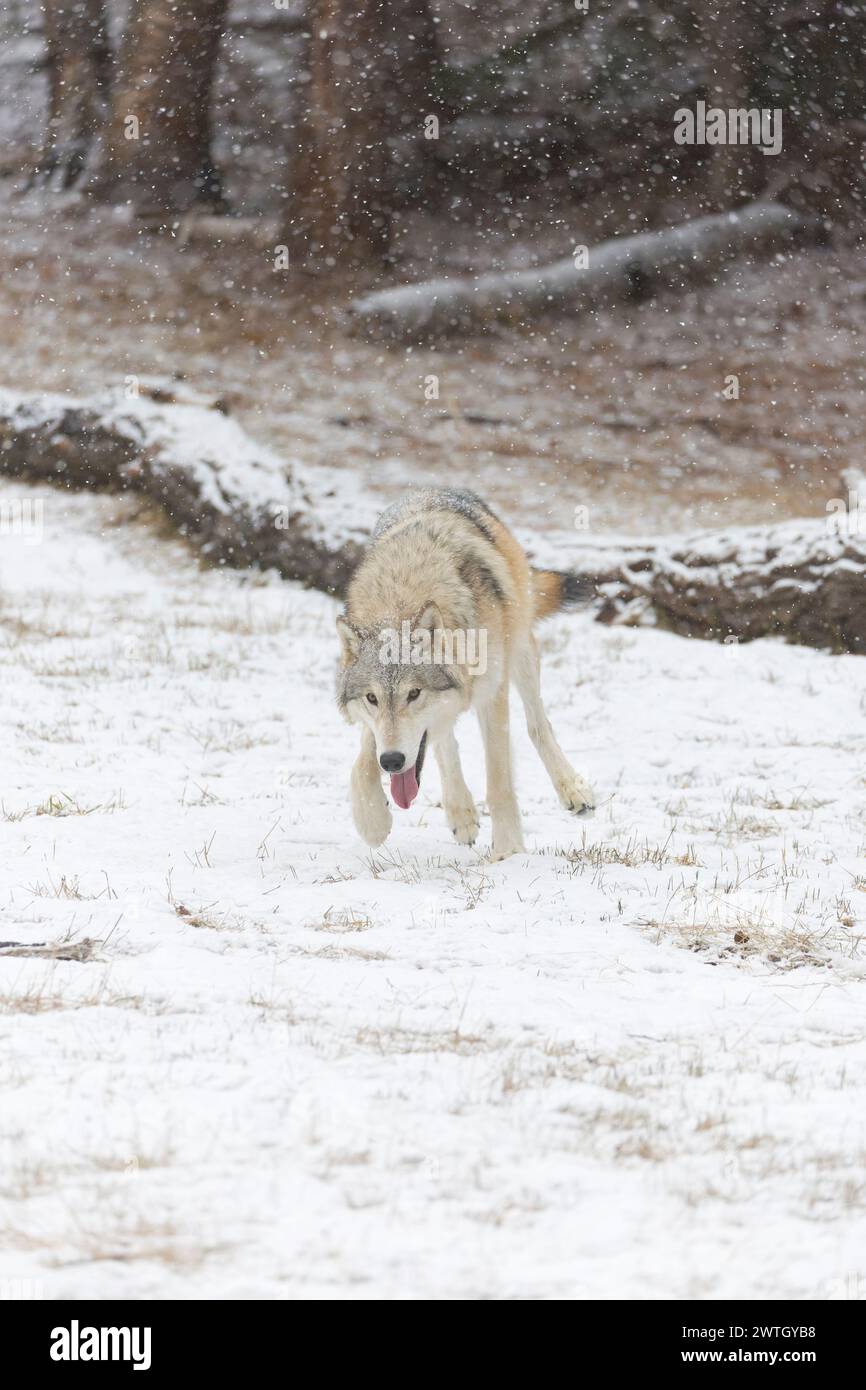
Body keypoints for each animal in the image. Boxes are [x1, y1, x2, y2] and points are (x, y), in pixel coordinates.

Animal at [336, 488, 595, 859]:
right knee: (446, 742)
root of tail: (434, 489)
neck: (403, 597)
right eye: (372, 698)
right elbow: (361, 764)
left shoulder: (492, 696)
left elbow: (499, 781)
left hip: (521, 650)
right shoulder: (380, 732)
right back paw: (460, 812)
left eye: (414, 693)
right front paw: (372, 822)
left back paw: (573, 789)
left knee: (538, 725)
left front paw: (508, 852)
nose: (392, 761)